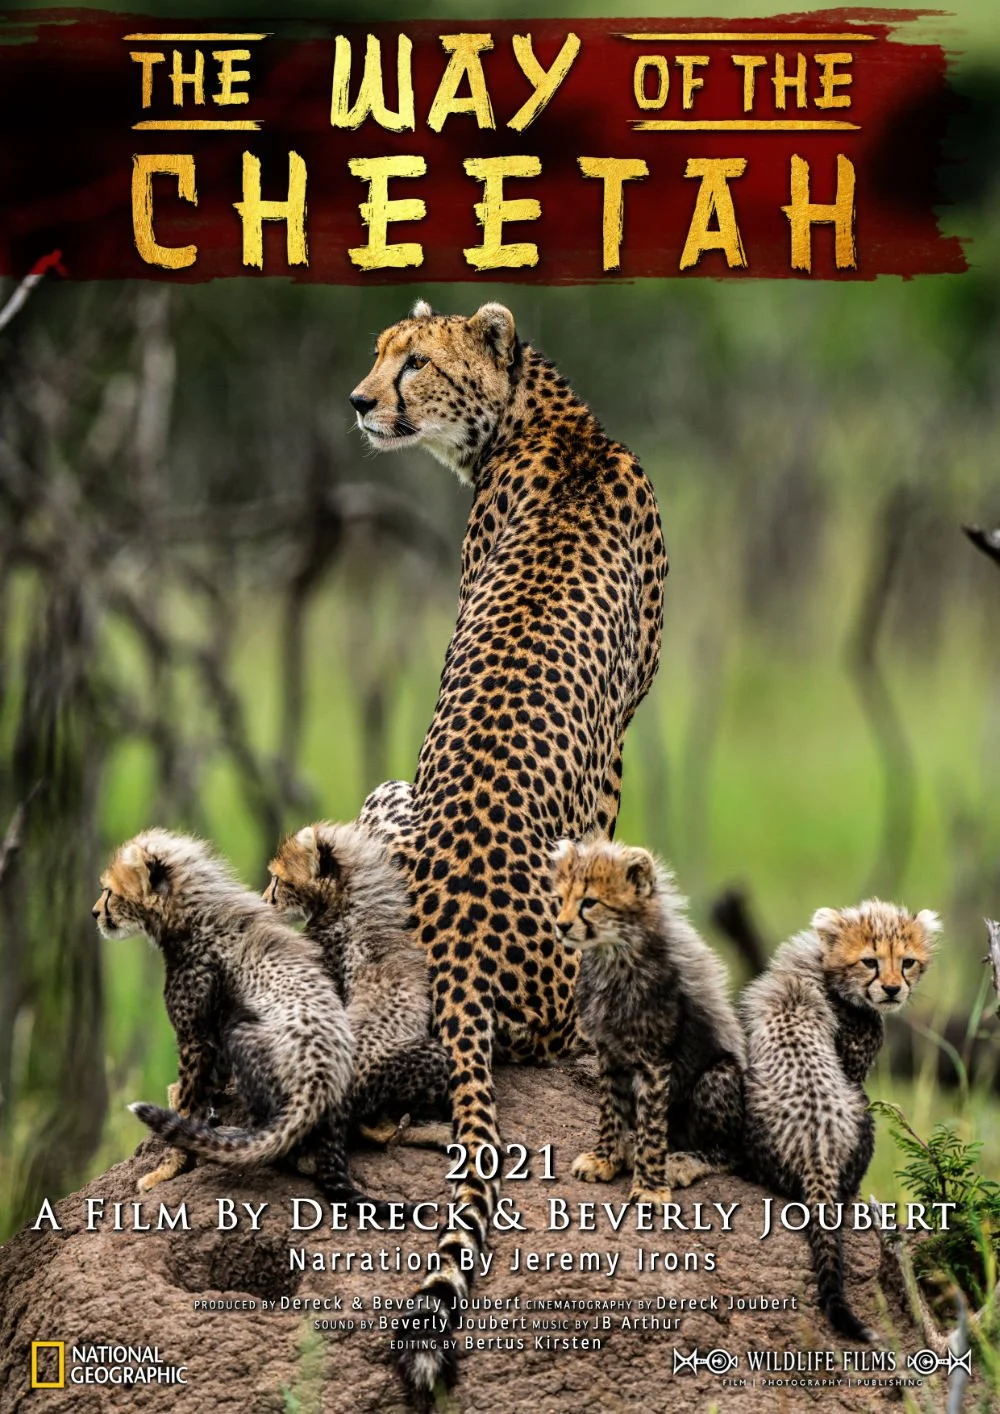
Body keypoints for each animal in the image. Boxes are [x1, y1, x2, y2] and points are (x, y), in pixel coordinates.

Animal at [94, 828, 403, 1215]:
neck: (192, 914)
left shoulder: (195, 1037)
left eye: (110, 892)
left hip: (245, 1035)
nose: (95, 913)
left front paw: (169, 1168)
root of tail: (322, 1078)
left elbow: (187, 1108)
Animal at [349, 299, 667, 1404]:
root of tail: (455, 951)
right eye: (377, 358)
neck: (544, 415)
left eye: (412, 363)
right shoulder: (616, 750)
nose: (358, 400)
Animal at [551, 837, 745, 1205]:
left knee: (727, 1153)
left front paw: (651, 1187)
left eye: (589, 902)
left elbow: (652, 1128)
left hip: (719, 1076)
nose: (561, 925)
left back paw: (681, 1162)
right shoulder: (609, 1051)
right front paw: (605, 1158)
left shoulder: (655, 1062)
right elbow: (610, 1109)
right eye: (560, 900)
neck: (614, 957)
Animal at [739, 898, 939, 1342]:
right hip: (861, 1112)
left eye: (908, 962)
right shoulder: (854, 1068)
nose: (893, 989)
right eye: (869, 961)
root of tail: (815, 1150)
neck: (819, 964)